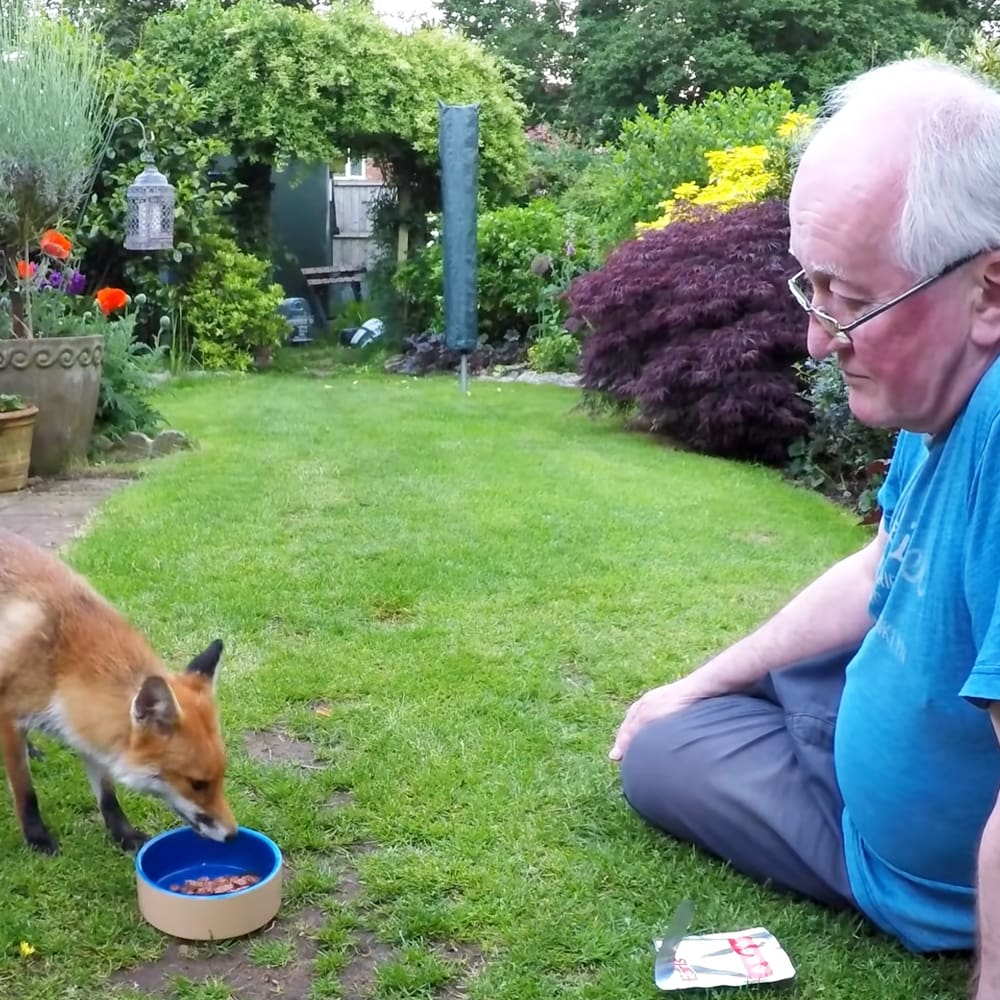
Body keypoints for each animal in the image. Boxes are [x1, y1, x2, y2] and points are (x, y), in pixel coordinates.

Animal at [0, 528, 237, 854]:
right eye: (197, 784)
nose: (233, 835)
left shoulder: (87, 728)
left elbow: (107, 795)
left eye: (222, 776)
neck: (61, 662)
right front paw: (37, 837)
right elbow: (25, 790)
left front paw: (123, 834)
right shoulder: (9, 715)